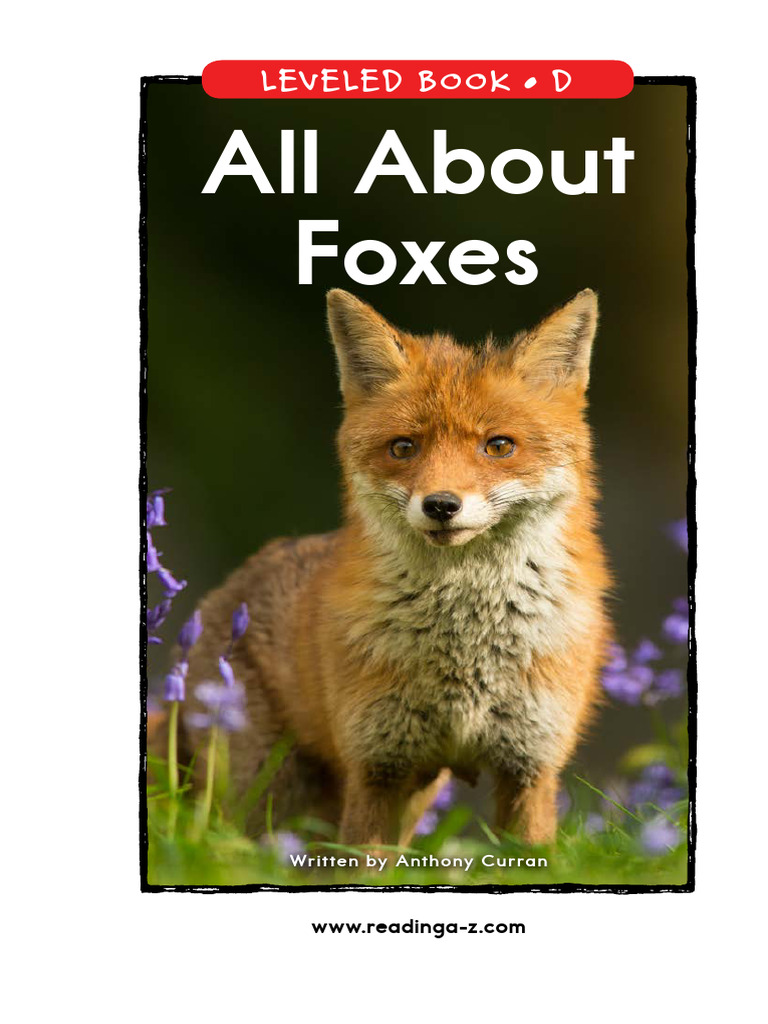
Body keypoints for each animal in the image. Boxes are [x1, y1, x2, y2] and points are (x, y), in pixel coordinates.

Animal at [180, 288, 611, 848]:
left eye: (498, 445)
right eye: (404, 447)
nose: (441, 505)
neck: (465, 648)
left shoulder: (529, 767)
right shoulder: (378, 767)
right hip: (268, 795)